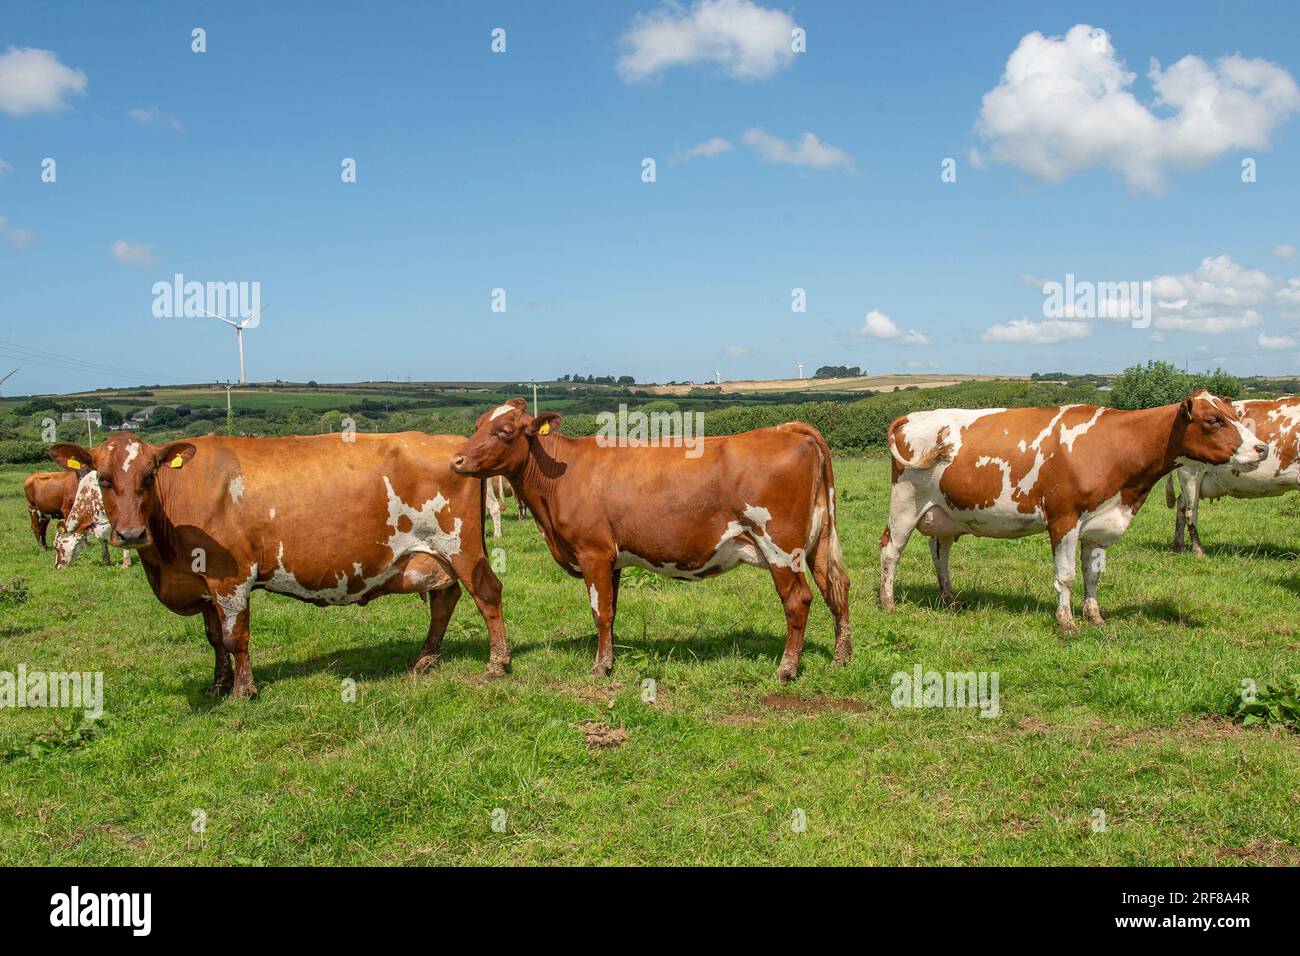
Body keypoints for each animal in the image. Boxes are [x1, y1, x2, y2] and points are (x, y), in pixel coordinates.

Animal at [49, 431, 509, 697]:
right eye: (104, 478)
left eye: (149, 475)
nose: (129, 534)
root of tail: (455, 442)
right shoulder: (204, 583)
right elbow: (214, 638)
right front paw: (218, 684)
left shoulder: (230, 578)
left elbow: (235, 638)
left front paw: (243, 691)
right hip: (432, 556)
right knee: (444, 599)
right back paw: (424, 660)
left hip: (462, 547)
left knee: (487, 594)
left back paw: (496, 665)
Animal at [450, 399, 849, 683]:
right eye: (477, 426)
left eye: (504, 431)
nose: (457, 461)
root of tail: (786, 430)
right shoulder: (611, 559)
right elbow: (610, 612)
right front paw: (608, 660)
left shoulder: (592, 553)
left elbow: (599, 611)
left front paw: (599, 669)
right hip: (816, 544)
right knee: (837, 587)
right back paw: (840, 659)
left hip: (779, 546)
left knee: (798, 600)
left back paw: (786, 669)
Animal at [879, 392, 1268, 632]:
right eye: (1214, 420)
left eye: (1234, 415)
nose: (1262, 448)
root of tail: (917, 415)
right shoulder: (1063, 518)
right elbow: (1065, 576)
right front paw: (1066, 622)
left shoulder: (1100, 523)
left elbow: (1092, 575)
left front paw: (1094, 616)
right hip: (905, 502)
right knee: (890, 549)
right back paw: (887, 602)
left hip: (945, 511)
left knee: (940, 551)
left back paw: (949, 599)